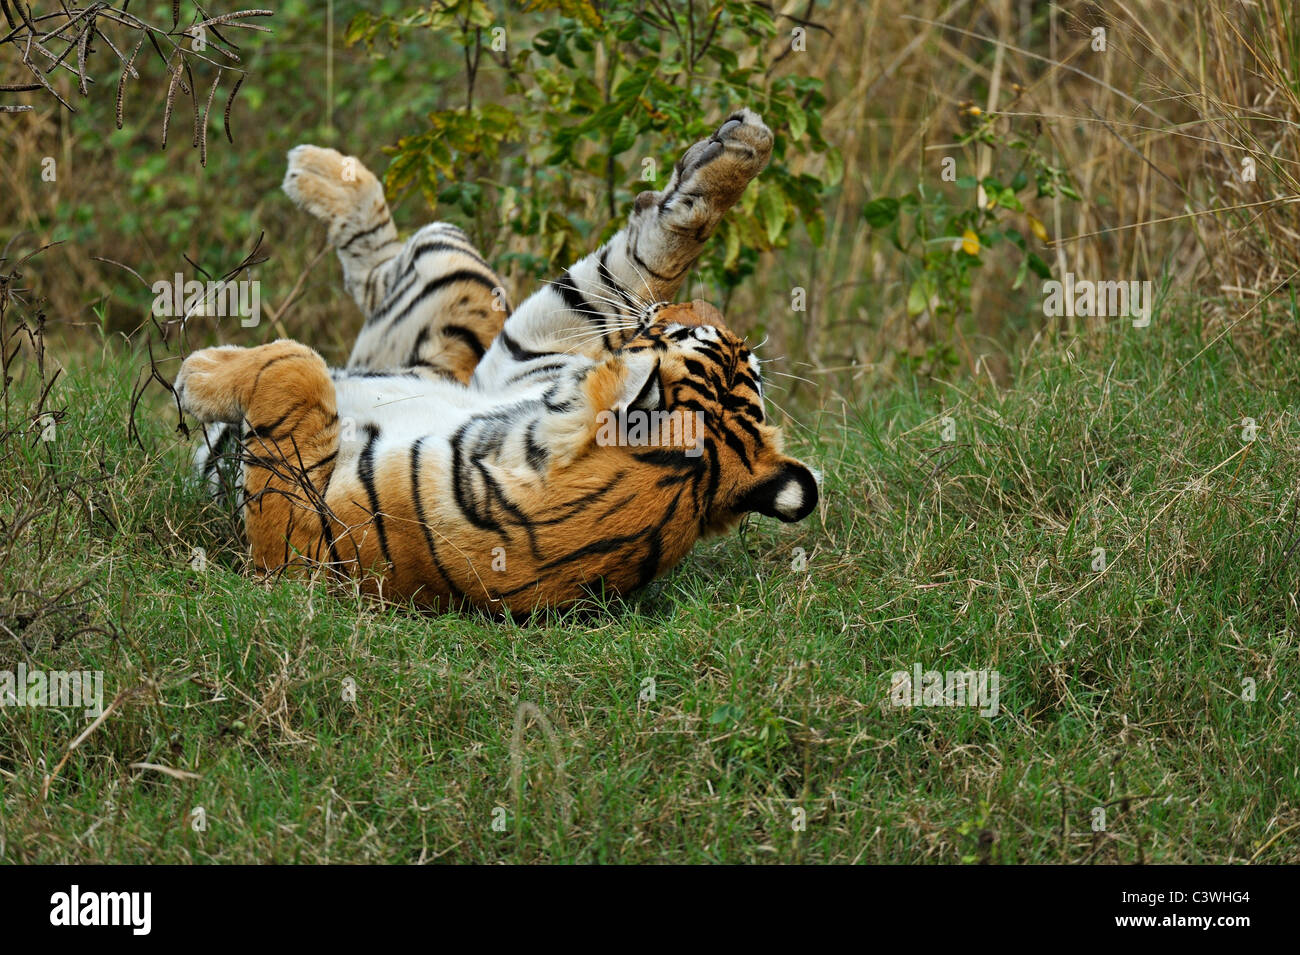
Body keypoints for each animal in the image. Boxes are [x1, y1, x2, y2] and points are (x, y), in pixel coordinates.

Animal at [174, 108, 820, 613]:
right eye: (701, 331)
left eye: (681, 329)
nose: (707, 306)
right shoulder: (524, 362)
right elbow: (637, 264)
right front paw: (735, 153)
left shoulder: (298, 552)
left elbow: (297, 368)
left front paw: (198, 375)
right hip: (467, 291)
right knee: (390, 265)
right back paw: (326, 171)